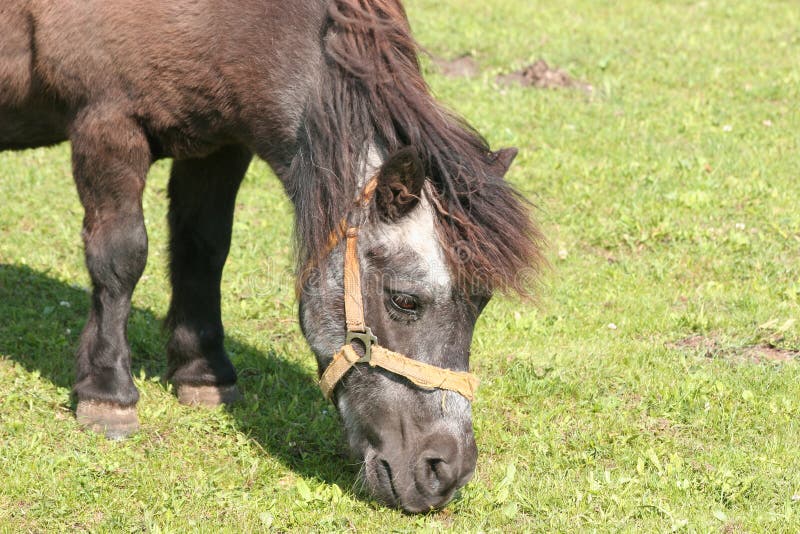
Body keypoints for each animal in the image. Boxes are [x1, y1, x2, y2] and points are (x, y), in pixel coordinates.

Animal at [0, 0, 543, 512]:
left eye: (482, 303)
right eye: (405, 300)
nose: (447, 472)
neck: (228, 21)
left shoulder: (217, 145)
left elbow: (204, 250)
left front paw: (203, 372)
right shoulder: (107, 126)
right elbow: (120, 260)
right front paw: (107, 392)